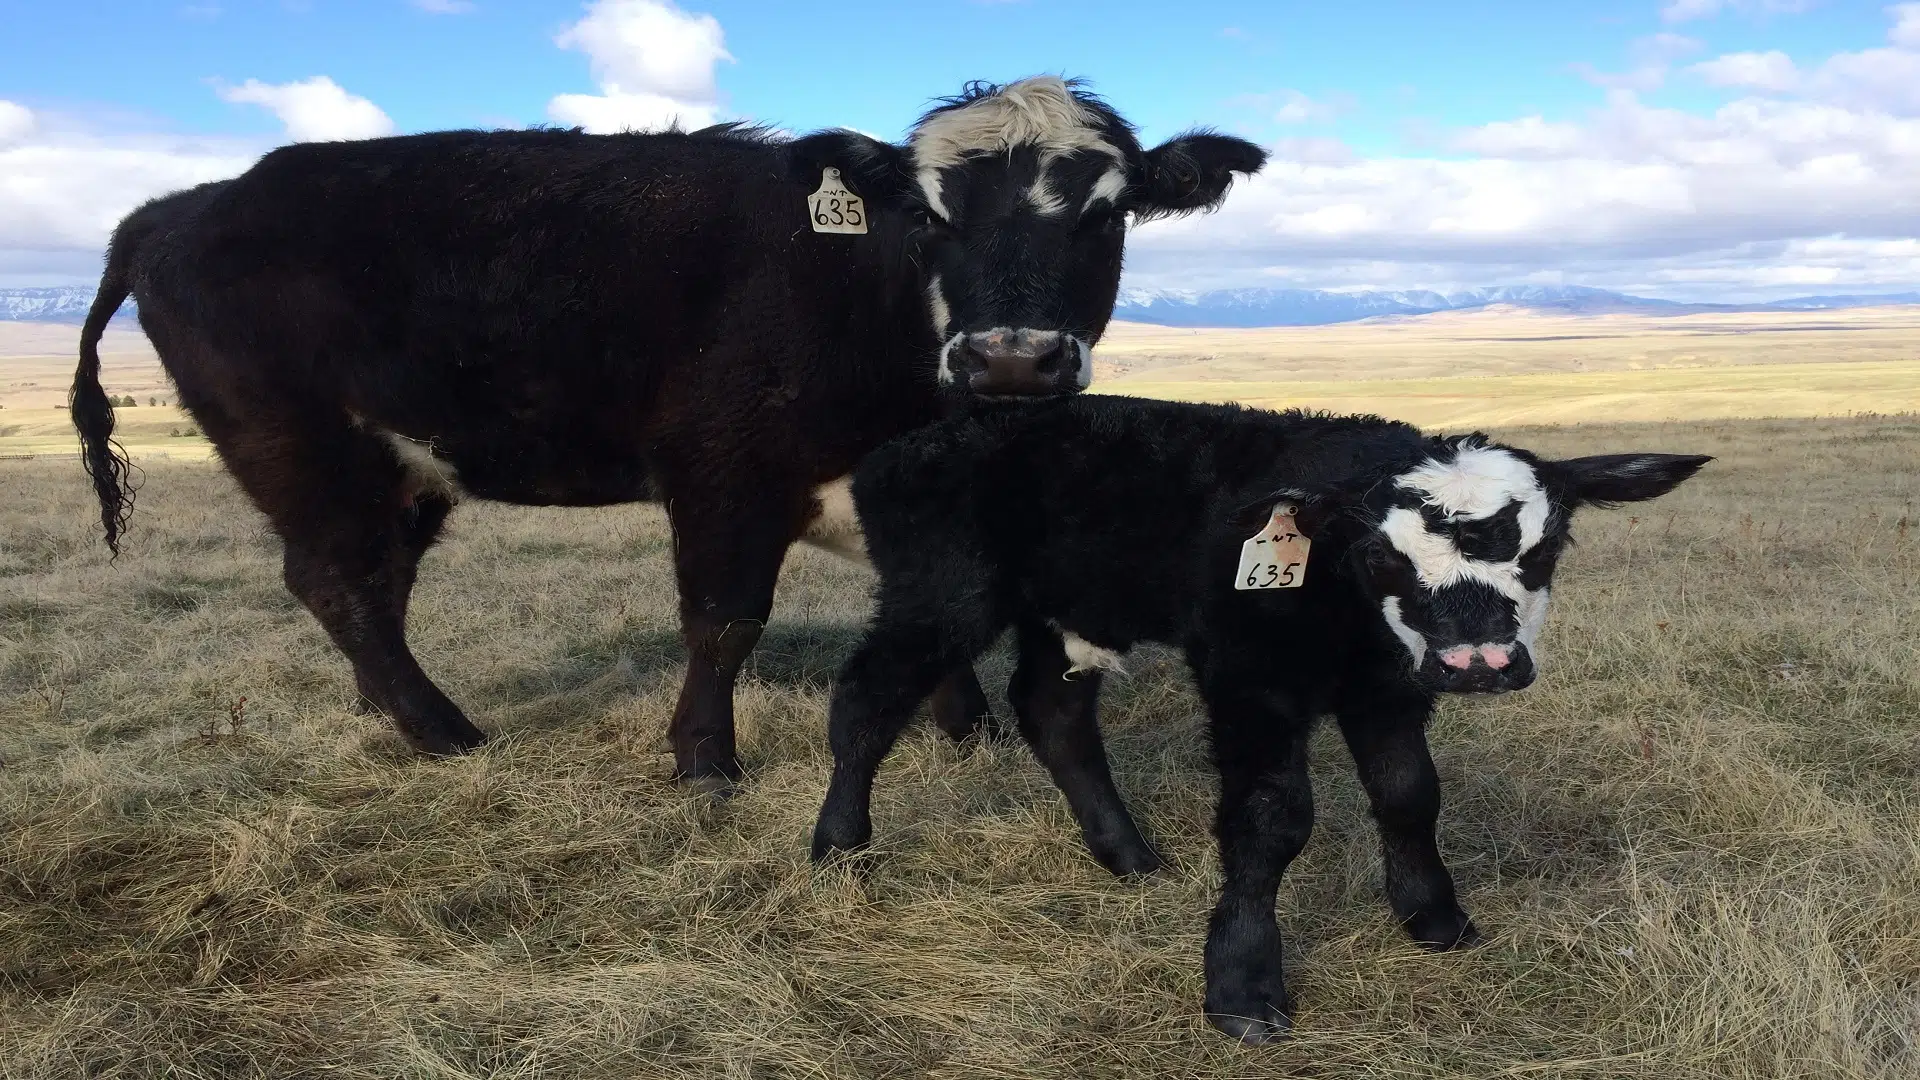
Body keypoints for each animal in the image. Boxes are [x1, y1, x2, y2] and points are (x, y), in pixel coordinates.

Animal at [68, 77, 1268, 782]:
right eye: (930, 215)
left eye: (1107, 212)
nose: (1013, 357)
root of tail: (181, 206)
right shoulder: (723, 473)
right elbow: (723, 623)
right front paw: (704, 761)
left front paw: (964, 733)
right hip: (302, 448)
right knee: (336, 584)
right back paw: (443, 732)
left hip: (402, 466)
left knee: (376, 584)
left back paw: (392, 714)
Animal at [807, 395, 1709, 1040]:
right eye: (1383, 556)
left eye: (1544, 549)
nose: (1477, 664)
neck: (1341, 605)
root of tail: (905, 448)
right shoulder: (1248, 673)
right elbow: (1272, 818)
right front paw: (1242, 986)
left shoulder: (1389, 686)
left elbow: (1410, 793)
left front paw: (1434, 917)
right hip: (941, 592)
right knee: (867, 700)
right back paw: (838, 850)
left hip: (1063, 604)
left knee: (1053, 711)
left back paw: (1129, 856)